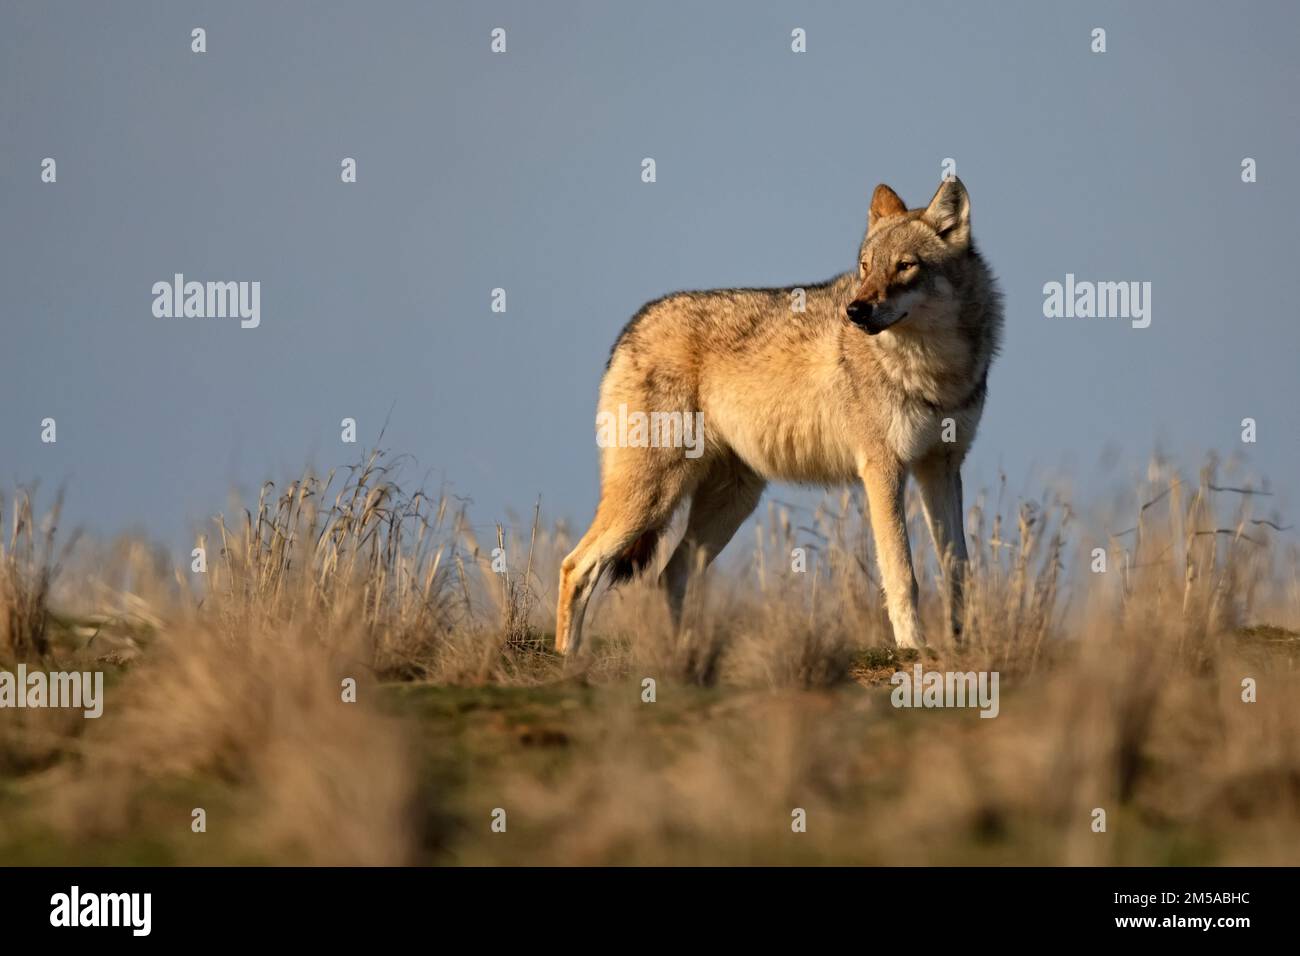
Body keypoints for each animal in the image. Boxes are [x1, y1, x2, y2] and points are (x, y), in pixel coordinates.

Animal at [556, 177, 1002, 654]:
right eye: (865, 267)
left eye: (905, 266)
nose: (855, 311)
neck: (933, 370)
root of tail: (631, 327)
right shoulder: (883, 469)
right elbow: (903, 574)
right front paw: (913, 647)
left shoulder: (941, 466)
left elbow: (958, 569)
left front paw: (962, 643)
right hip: (655, 496)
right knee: (577, 565)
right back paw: (569, 660)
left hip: (730, 503)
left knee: (671, 573)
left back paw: (682, 656)